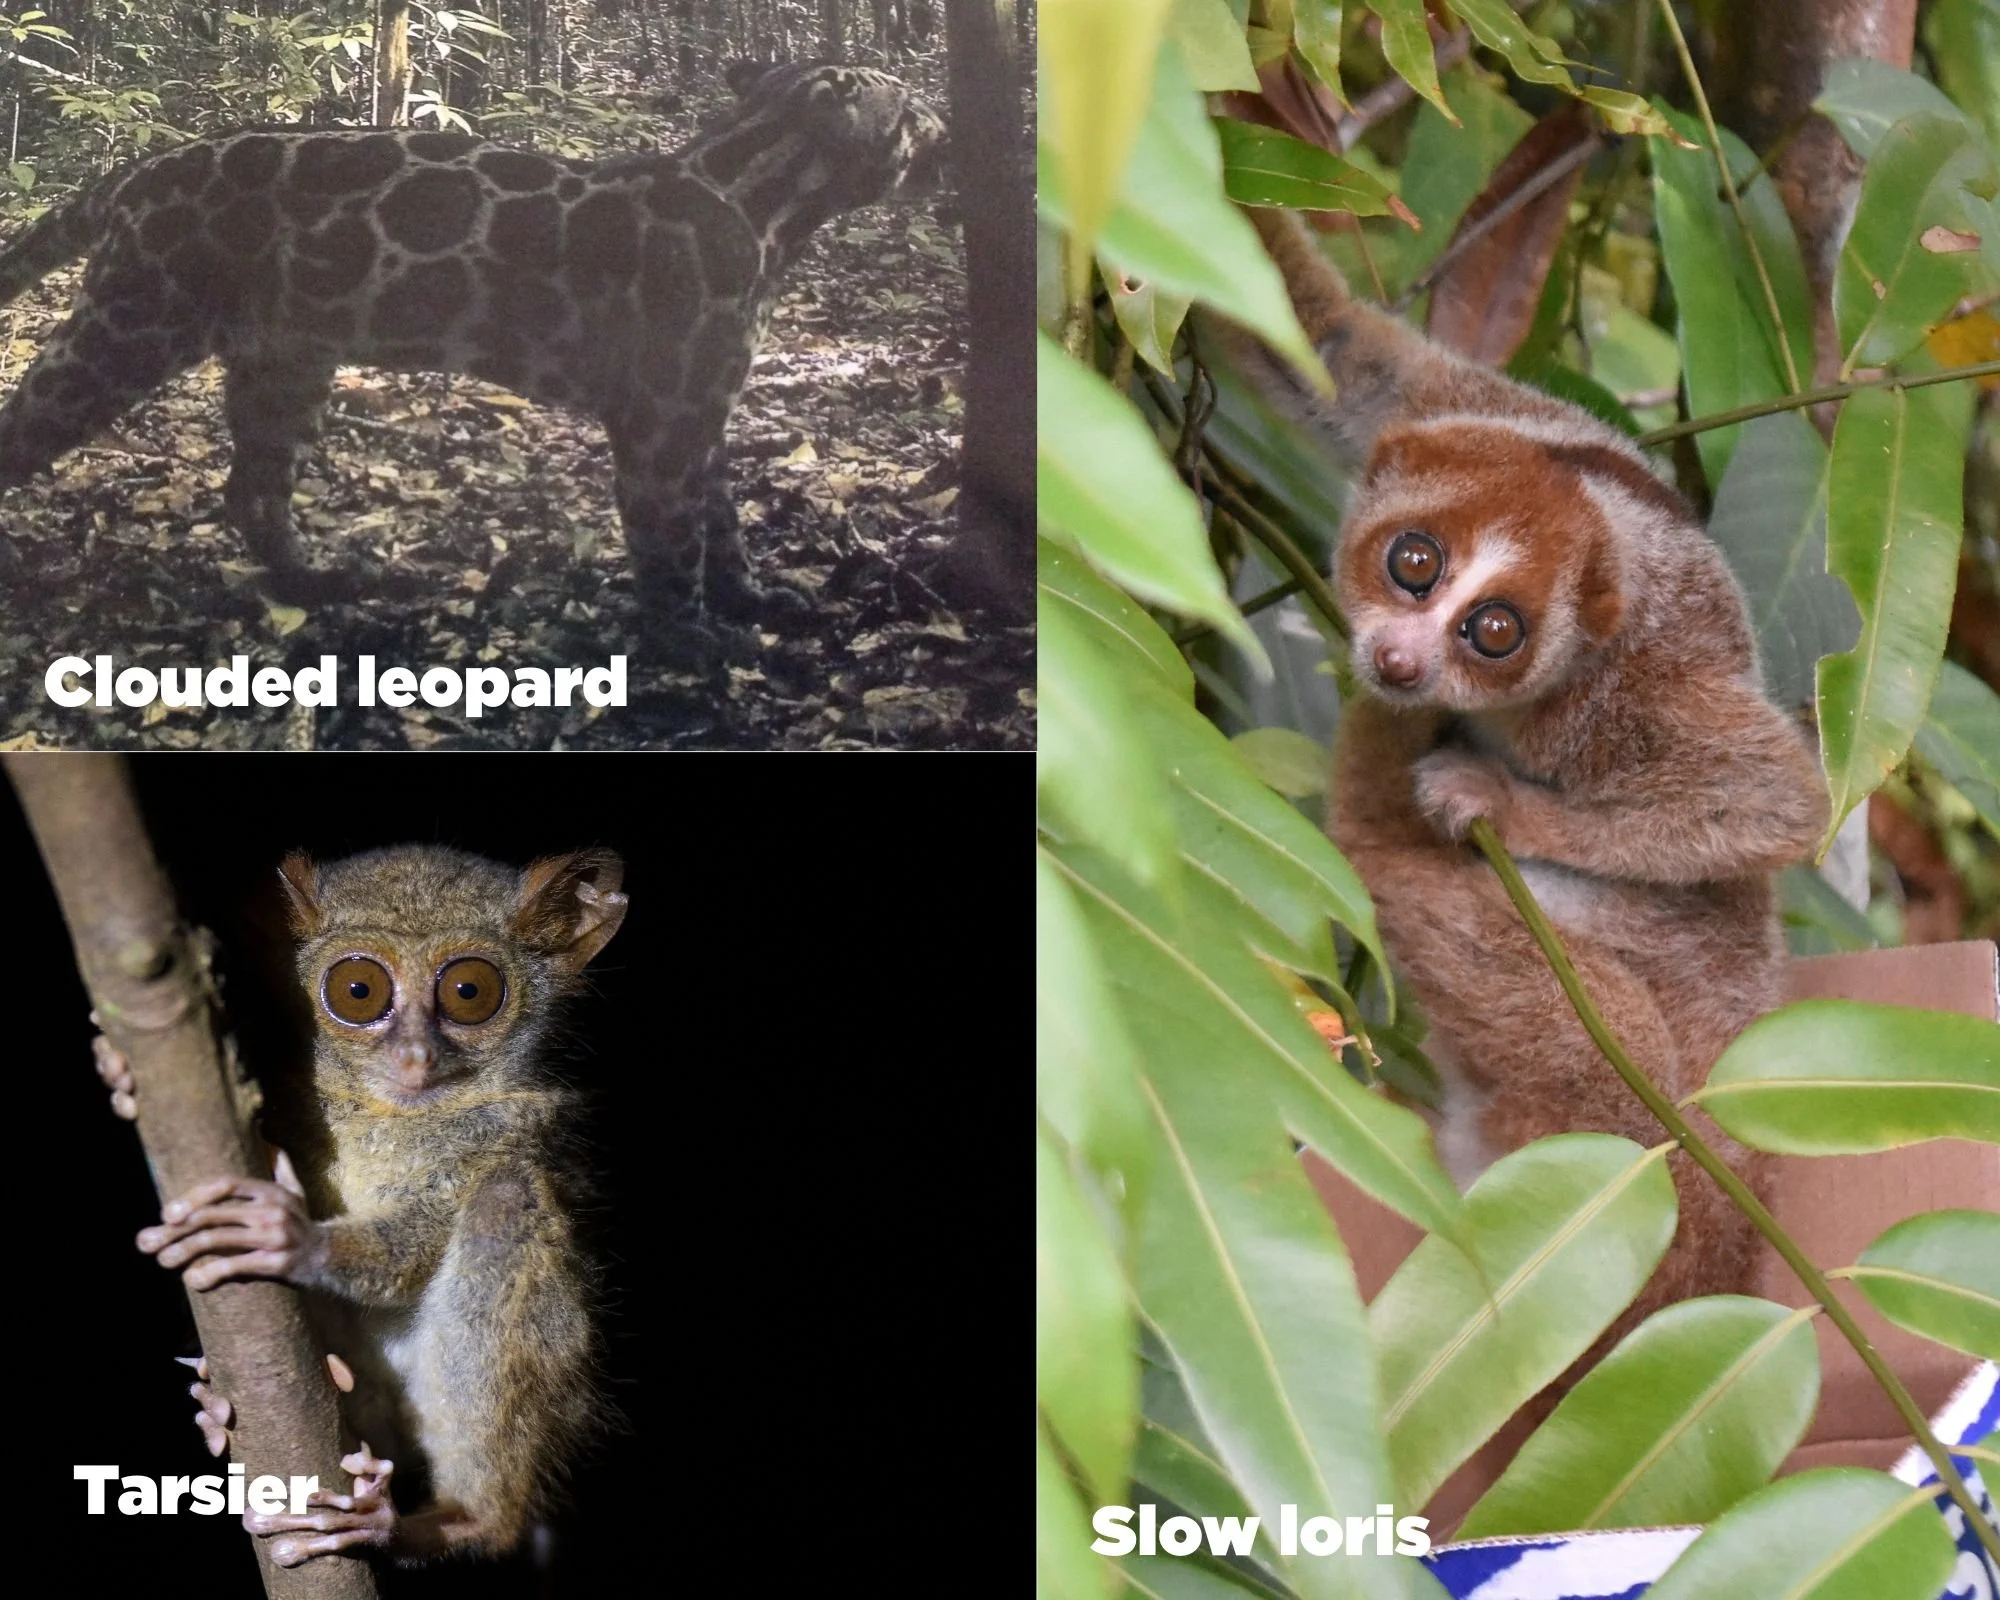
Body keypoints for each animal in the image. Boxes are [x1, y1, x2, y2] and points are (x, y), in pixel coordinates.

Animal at [97, 844, 627, 1565]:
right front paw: (123, 1076)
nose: (415, 1056)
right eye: (358, 991)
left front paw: (290, 1238)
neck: (390, 1111)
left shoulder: (509, 1133)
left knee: (507, 1200)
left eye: (469, 992)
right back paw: (231, 1405)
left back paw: (431, 1521)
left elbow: (421, 1241)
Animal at [1229, 208, 1829, 1340]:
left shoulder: (1610, 705)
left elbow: (1779, 803)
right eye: (1412, 562)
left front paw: (1487, 800)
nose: (1400, 663)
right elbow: (1331, 348)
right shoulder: (1466, 409)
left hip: (1639, 1123)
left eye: (1494, 632)